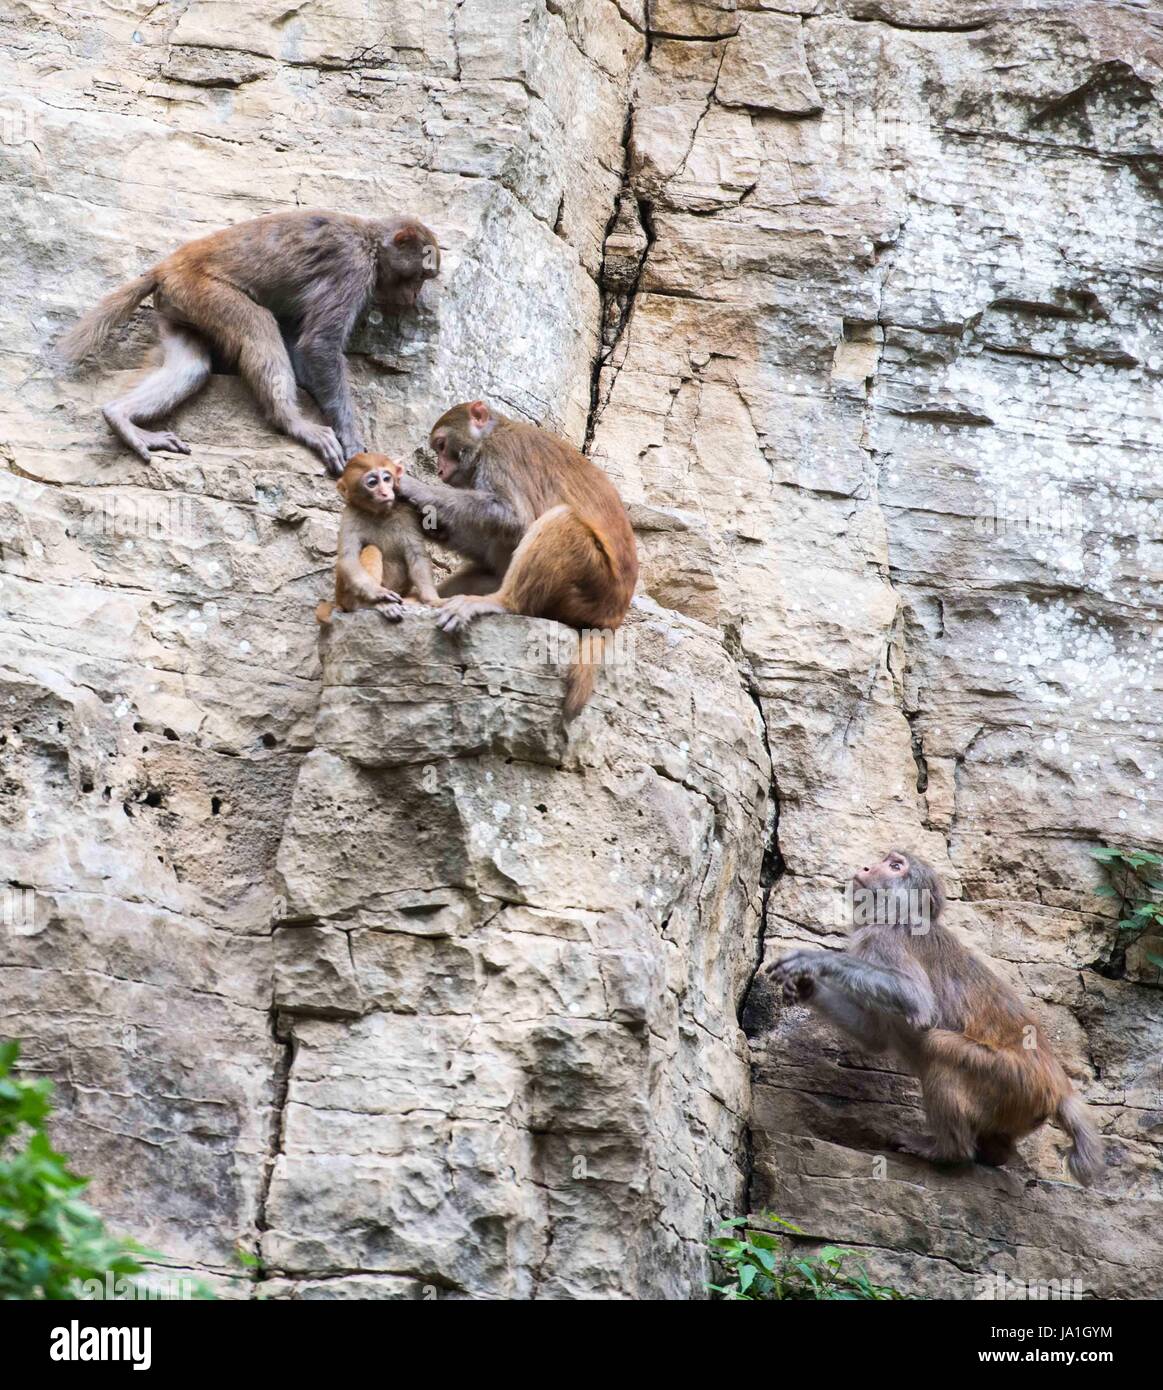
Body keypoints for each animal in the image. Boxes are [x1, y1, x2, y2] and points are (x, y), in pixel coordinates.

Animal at [58, 210, 440, 475]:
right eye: (420, 274)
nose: (413, 296)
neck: (370, 240)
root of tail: (165, 267)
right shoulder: (352, 267)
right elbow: (318, 344)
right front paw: (351, 438)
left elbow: (301, 345)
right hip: (202, 289)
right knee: (258, 324)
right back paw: (291, 421)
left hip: (179, 304)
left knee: (191, 367)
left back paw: (120, 417)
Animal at [316, 452, 440, 624]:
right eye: (373, 483)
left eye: (387, 479)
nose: (385, 492)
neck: (380, 513)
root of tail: (337, 601)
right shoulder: (350, 515)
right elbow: (348, 558)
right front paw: (377, 593)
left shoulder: (407, 514)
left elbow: (416, 555)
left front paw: (433, 600)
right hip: (344, 594)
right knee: (372, 549)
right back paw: (372, 604)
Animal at [395, 400, 638, 718]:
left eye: (441, 445)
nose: (438, 469)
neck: (491, 435)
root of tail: (613, 617)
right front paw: (430, 523)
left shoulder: (500, 456)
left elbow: (514, 519)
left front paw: (413, 487)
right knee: (489, 571)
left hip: (592, 585)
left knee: (561, 520)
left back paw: (500, 602)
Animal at [768, 850, 1104, 1186]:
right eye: (887, 861)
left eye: (895, 866)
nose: (866, 867)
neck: (894, 915)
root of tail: (1060, 1086)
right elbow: (873, 1033)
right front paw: (806, 986)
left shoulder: (884, 940)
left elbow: (918, 1000)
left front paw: (816, 960)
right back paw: (995, 1155)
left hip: (1012, 1080)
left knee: (938, 1046)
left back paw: (947, 1151)